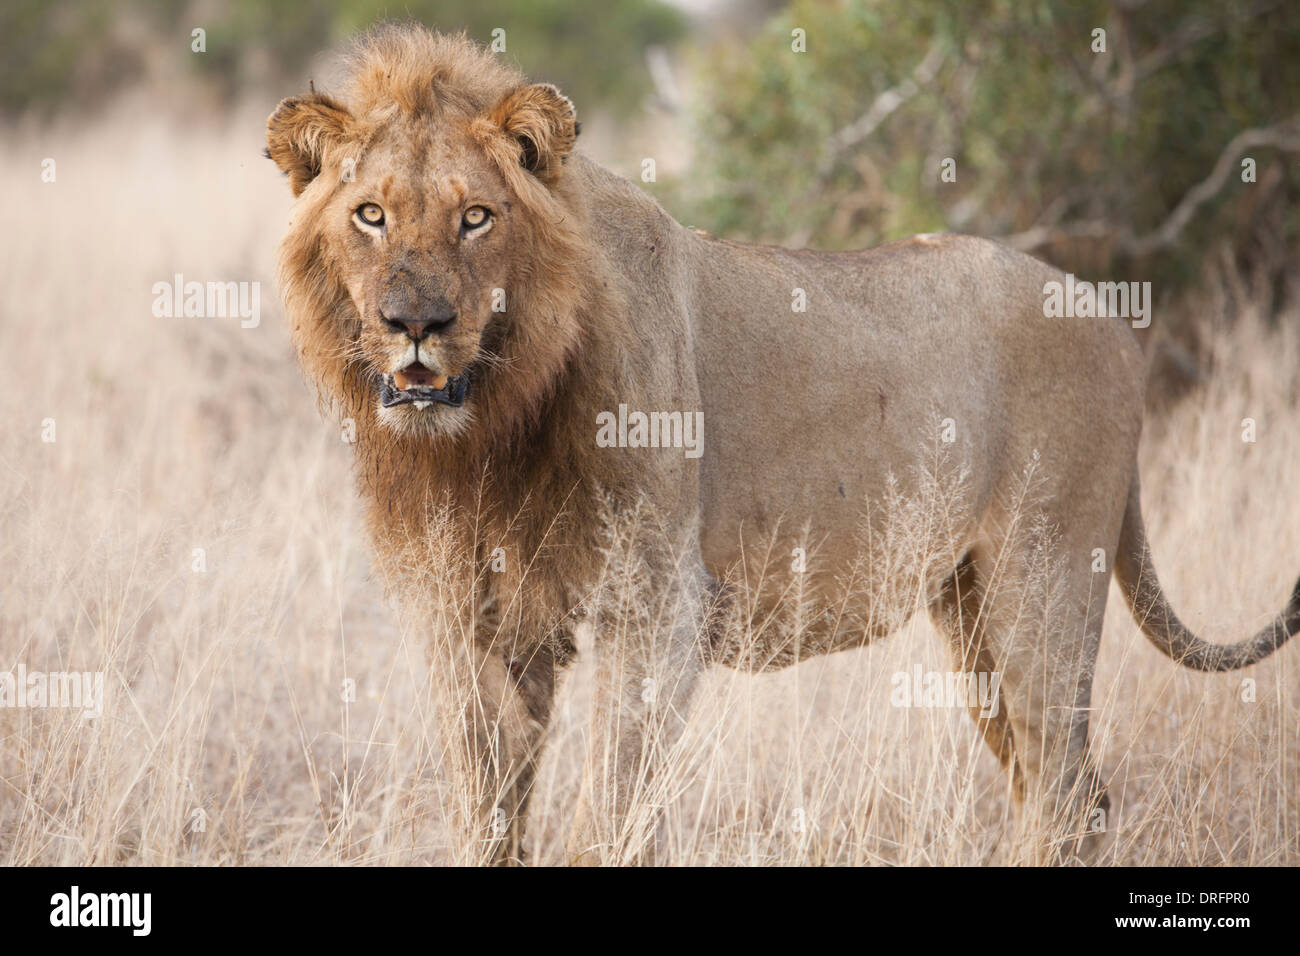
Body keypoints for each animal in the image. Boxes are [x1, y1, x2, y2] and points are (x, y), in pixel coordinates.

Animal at [267, 24, 1300, 864]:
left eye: (476, 216)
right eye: (370, 215)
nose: (416, 324)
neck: (490, 431)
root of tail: (1112, 315)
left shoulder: (655, 609)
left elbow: (612, 816)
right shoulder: (464, 621)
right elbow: (487, 818)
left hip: (1042, 589)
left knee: (1063, 797)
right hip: (970, 617)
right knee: (1070, 794)